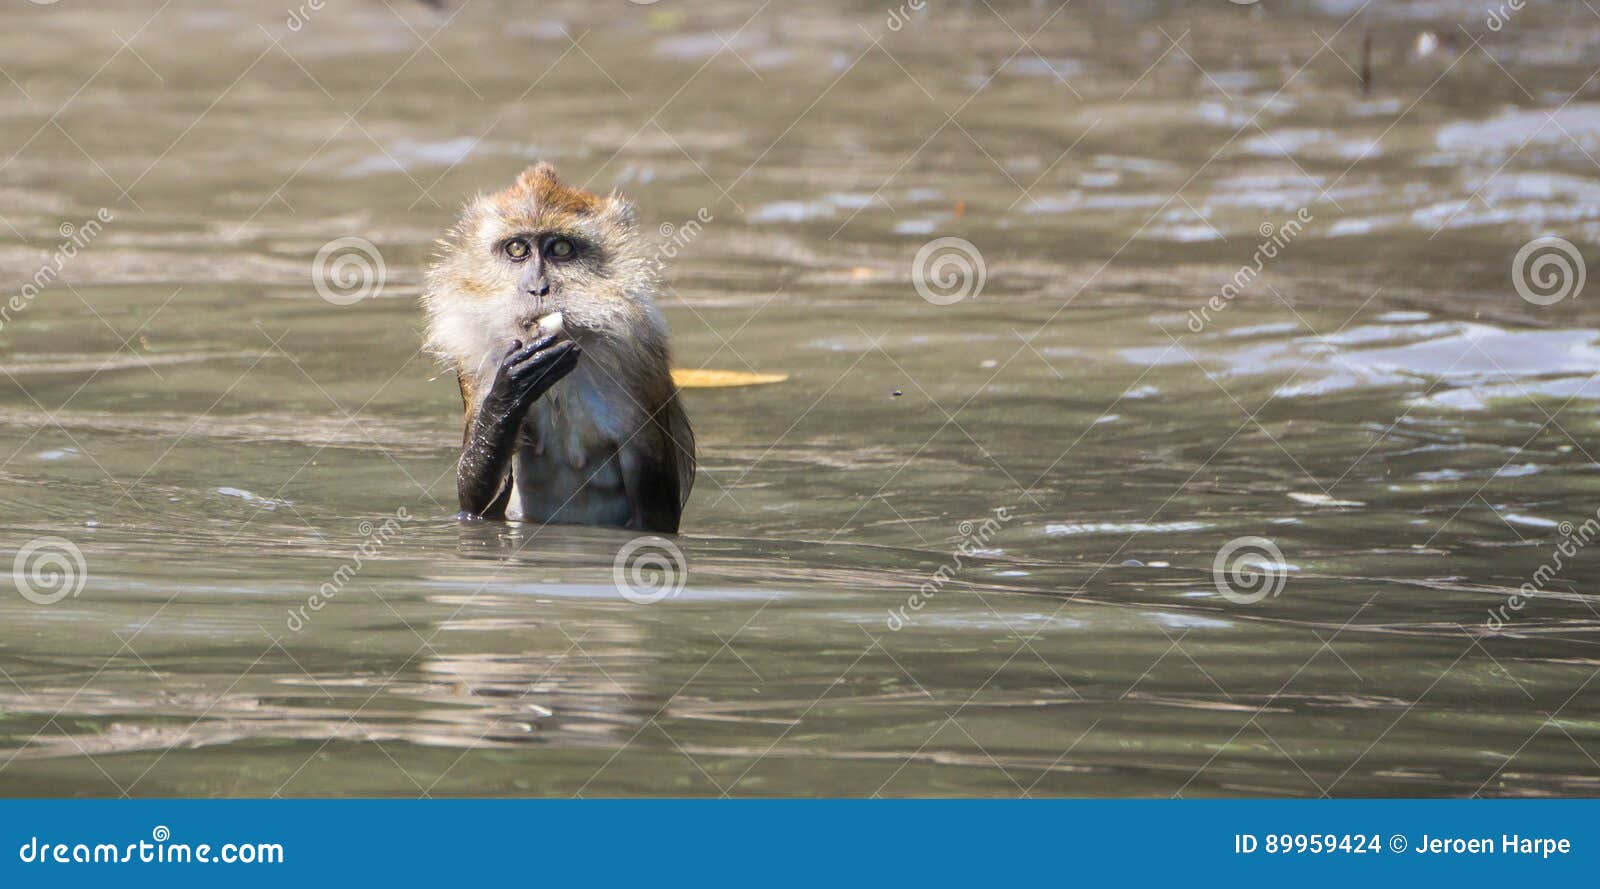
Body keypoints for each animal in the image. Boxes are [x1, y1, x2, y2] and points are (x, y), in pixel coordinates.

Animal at [422, 162, 694, 533]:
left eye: (561, 249)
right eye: (518, 249)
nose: (538, 288)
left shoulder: (638, 364)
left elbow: (655, 521)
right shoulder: (476, 370)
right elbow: (475, 506)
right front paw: (512, 391)